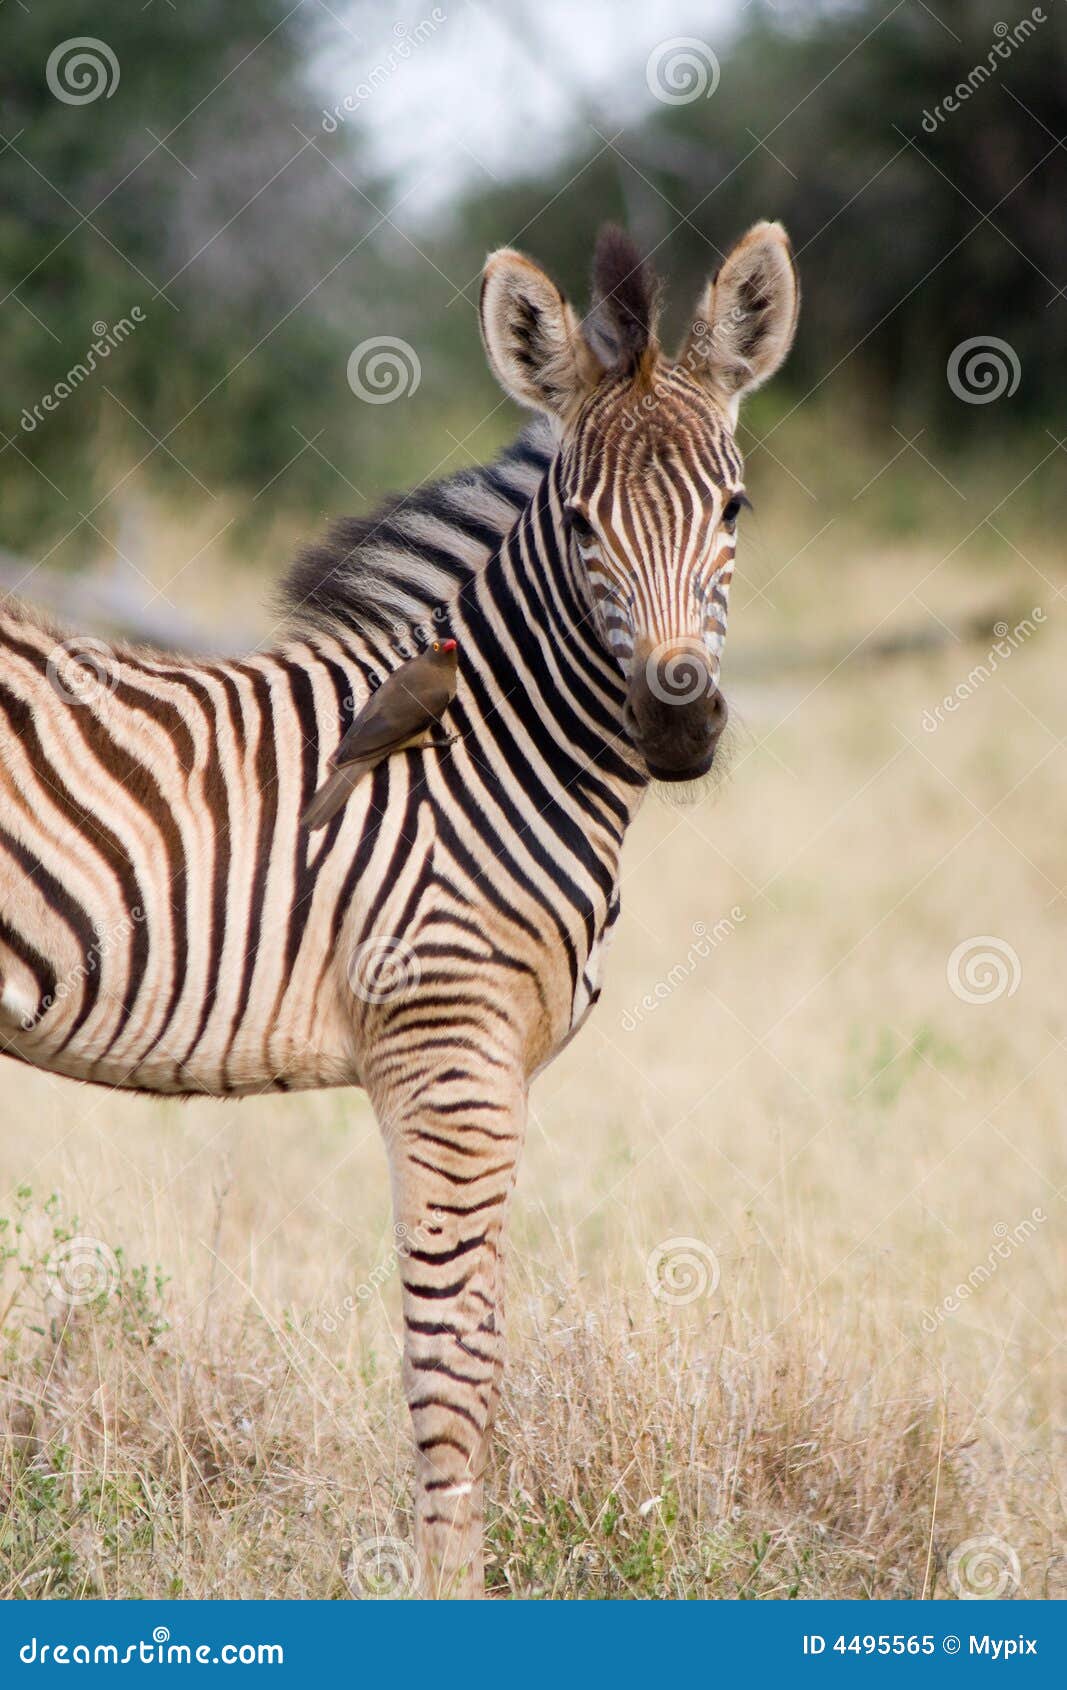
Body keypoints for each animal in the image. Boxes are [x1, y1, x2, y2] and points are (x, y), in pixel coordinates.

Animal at [0, 221, 798, 1597]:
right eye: (579, 523)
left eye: (733, 508)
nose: (679, 722)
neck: (487, 740)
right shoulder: (449, 1049)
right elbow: (454, 1358)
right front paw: (449, 1588)